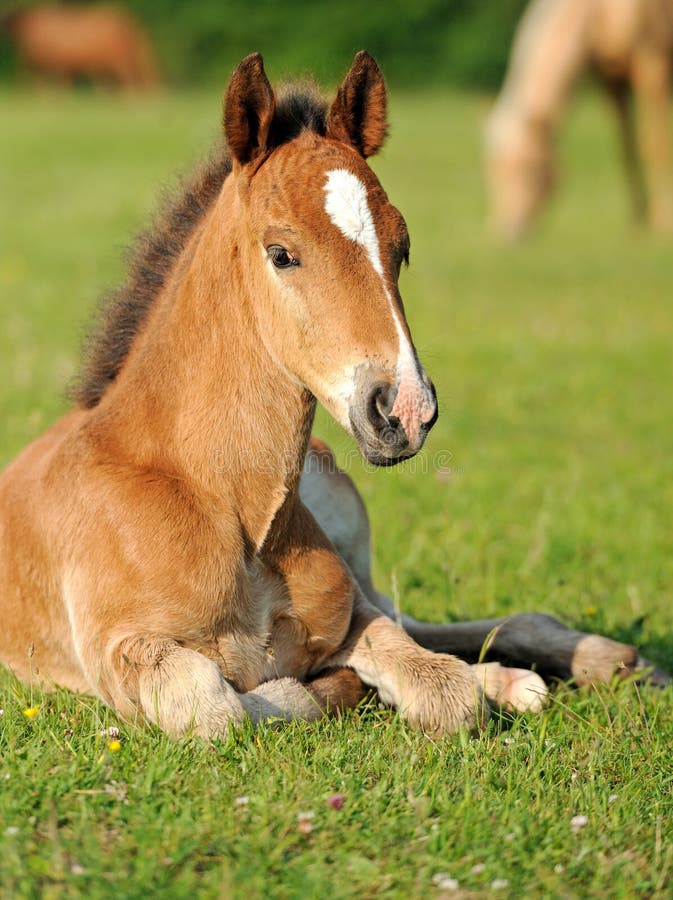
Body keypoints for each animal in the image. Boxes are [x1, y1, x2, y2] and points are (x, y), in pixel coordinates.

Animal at [0, 52, 665, 740]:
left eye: (402, 248)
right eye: (281, 253)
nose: (404, 410)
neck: (222, 505)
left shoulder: (349, 613)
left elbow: (438, 686)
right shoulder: (119, 650)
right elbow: (220, 704)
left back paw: (601, 661)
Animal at [486, 0, 673, 238]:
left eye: (526, 167)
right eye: (492, 170)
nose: (508, 234)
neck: (599, 13)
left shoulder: (652, 67)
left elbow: (656, 148)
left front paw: (663, 221)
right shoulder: (610, 79)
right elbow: (626, 150)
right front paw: (638, 221)